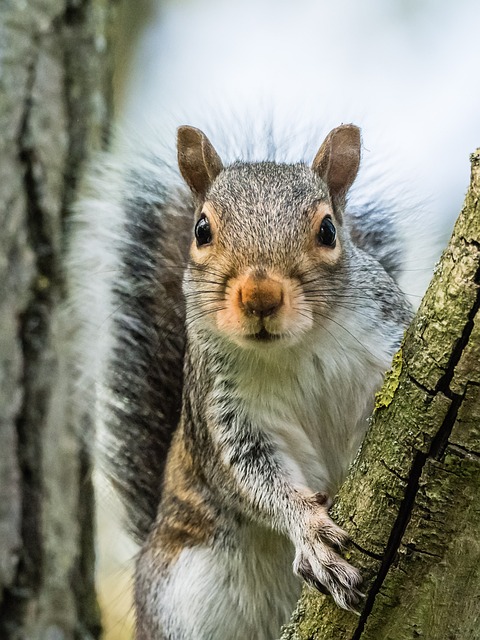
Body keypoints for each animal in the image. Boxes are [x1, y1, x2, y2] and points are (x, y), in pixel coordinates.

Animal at [68, 122, 413, 640]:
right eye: (201, 230)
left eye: (328, 230)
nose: (260, 295)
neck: (296, 348)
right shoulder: (224, 412)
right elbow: (255, 479)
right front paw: (311, 534)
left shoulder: (389, 343)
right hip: (177, 603)